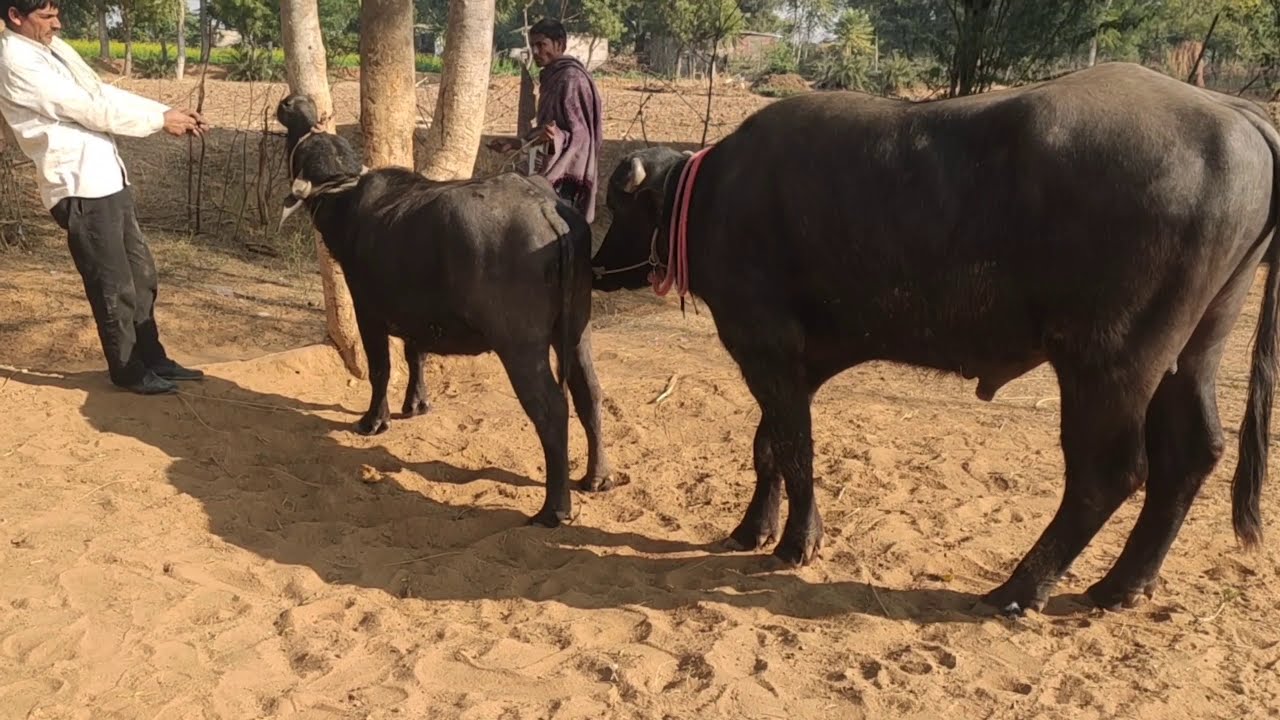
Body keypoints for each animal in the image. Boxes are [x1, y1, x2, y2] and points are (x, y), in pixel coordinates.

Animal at [276, 94, 614, 527]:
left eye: (300, 139)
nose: (294, 102)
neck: (349, 203)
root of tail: (549, 210)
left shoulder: (367, 309)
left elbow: (381, 368)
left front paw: (373, 421)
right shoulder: (417, 313)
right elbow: (415, 353)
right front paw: (416, 403)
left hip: (521, 346)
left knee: (552, 409)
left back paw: (553, 508)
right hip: (576, 332)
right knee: (590, 393)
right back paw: (596, 477)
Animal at [591, 62, 1278, 614]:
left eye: (618, 206)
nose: (596, 267)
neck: (714, 198)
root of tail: (1235, 114)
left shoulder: (764, 347)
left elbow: (793, 449)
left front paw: (796, 542)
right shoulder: (798, 363)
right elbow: (771, 447)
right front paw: (753, 528)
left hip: (1109, 360)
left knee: (1108, 471)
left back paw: (1019, 589)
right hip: (1192, 350)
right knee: (1190, 454)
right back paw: (1121, 586)